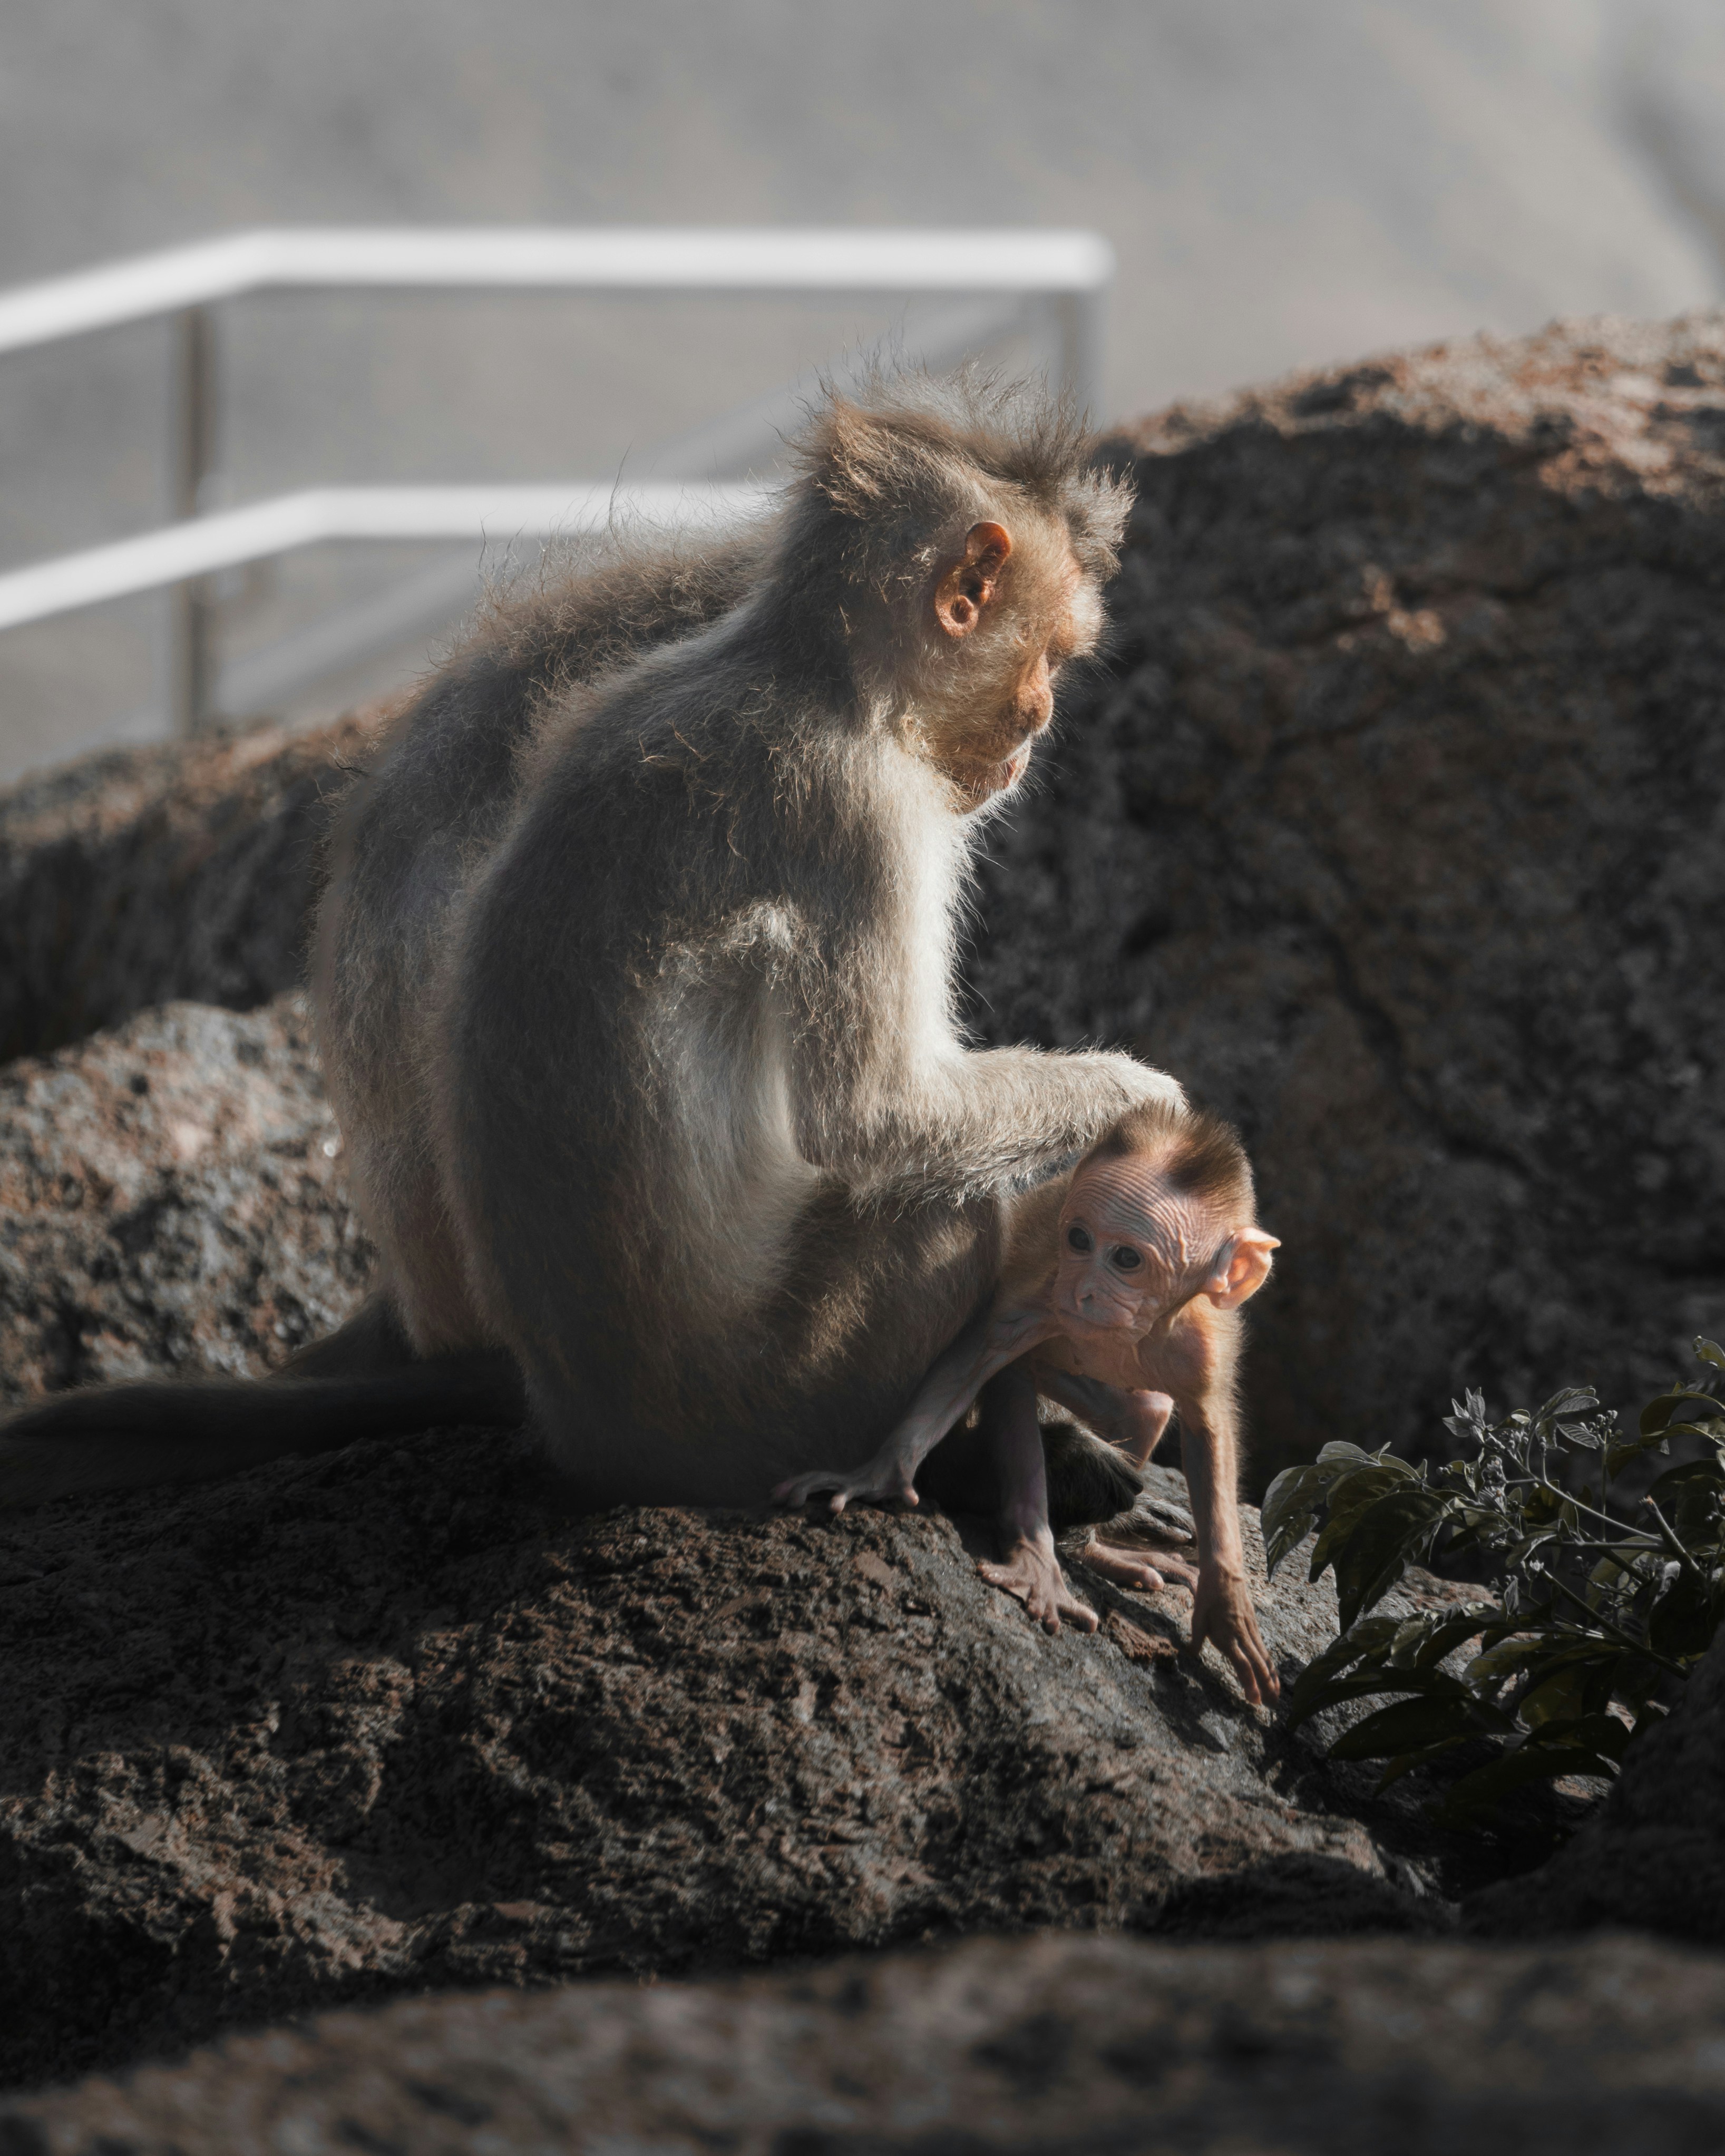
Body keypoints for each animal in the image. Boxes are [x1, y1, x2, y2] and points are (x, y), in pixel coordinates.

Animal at [1, 374, 1186, 1540]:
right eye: (1048, 657)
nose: (1037, 725)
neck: (810, 671)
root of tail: (581, 1428)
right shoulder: (861, 814)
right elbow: (874, 1115)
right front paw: (1136, 1095)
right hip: (796, 1375)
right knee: (940, 1198)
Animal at [774, 1095, 1282, 1704]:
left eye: (1128, 1259)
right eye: (1080, 1239)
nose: (1083, 1292)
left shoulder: (1201, 1348)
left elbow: (1210, 1437)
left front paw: (1225, 1605)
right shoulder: (1040, 1284)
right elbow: (987, 1359)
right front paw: (882, 1475)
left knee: (1147, 1410)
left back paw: (1100, 1545)